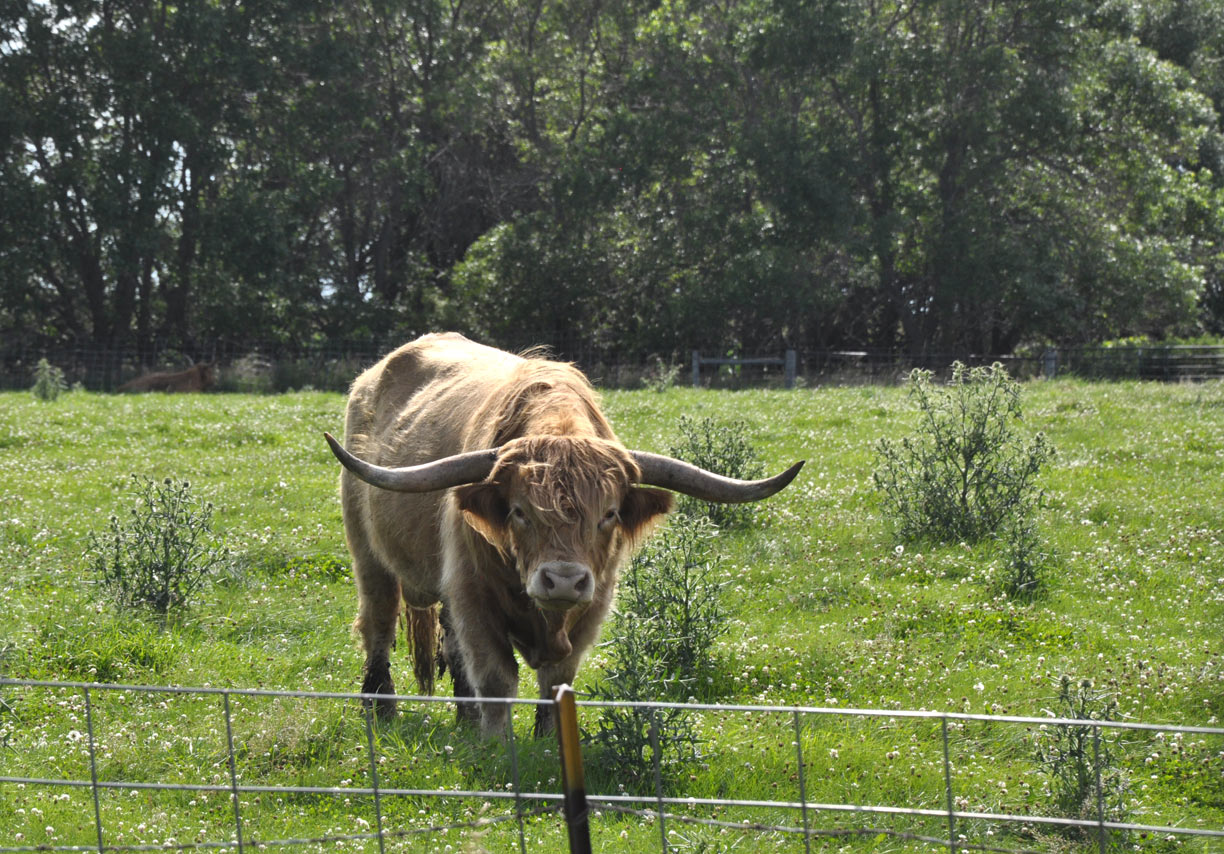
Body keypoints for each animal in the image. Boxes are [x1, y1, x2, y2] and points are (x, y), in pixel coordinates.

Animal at [325, 333, 803, 737]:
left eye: (608, 514)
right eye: (519, 512)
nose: (563, 581)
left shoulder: (592, 604)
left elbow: (557, 681)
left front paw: (548, 739)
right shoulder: (473, 594)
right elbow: (496, 678)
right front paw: (498, 746)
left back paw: (465, 716)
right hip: (368, 555)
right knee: (378, 624)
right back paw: (380, 706)